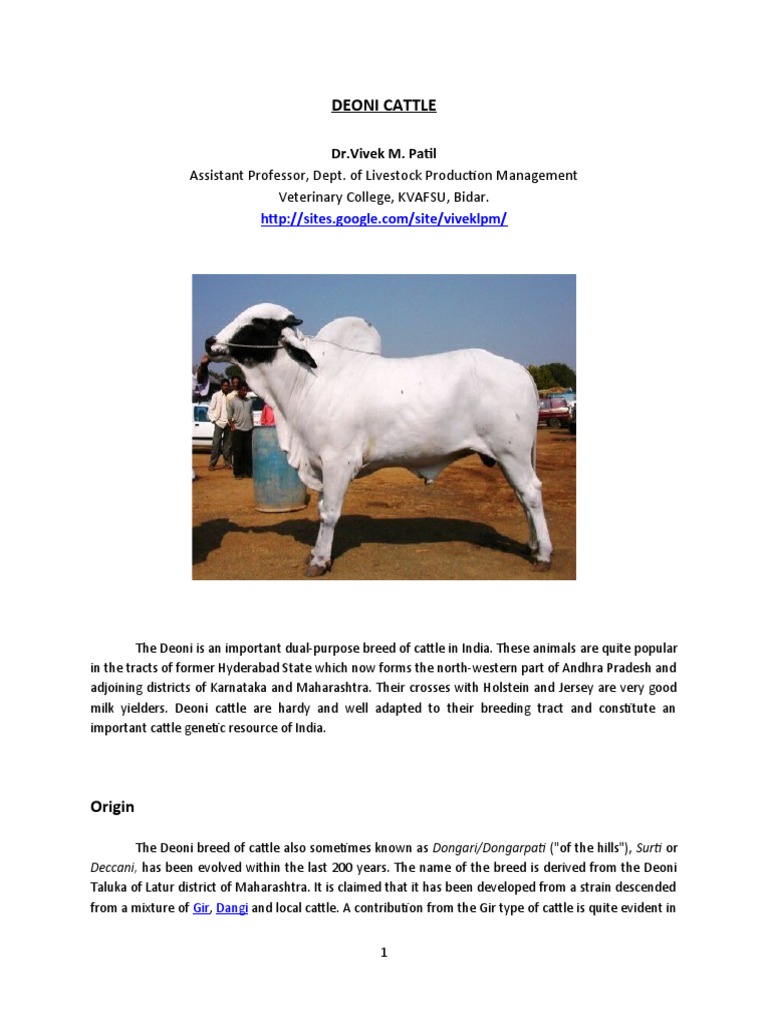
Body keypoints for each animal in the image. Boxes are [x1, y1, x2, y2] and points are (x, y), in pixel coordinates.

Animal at [205, 303, 552, 576]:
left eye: (257, 324)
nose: (210, 341)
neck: (307, 381)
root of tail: (518, 368)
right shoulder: (322, 463)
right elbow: (322, 507)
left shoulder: (339, 461)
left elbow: (329, 513)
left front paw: (319, 561)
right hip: (509, 458)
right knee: (523, 498)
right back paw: (533, 546)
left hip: (512, 454)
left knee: (532, 494)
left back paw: (545, 555)